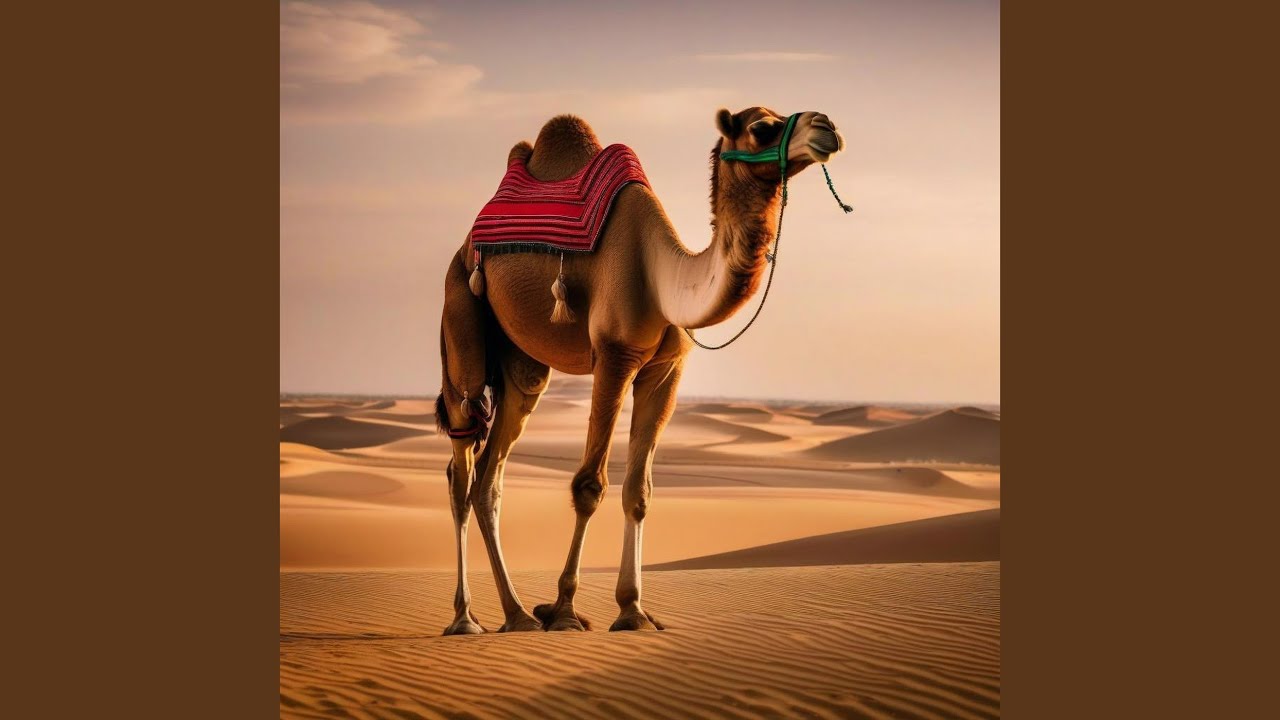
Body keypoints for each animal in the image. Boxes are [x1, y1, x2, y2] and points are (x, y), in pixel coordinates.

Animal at [436, 106, 844, 634]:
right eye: (761, 127)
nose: (826, 126)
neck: (661, 274)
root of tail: (466, 241)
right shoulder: (615, 355)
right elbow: (589, 485)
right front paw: (564, 610)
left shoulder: (665, 370)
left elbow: (639, 490)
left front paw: (632, 610)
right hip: (460, 309)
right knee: (460, 468)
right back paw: (466, 617)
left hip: (523, 366)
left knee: (491, 476)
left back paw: (518, 614)